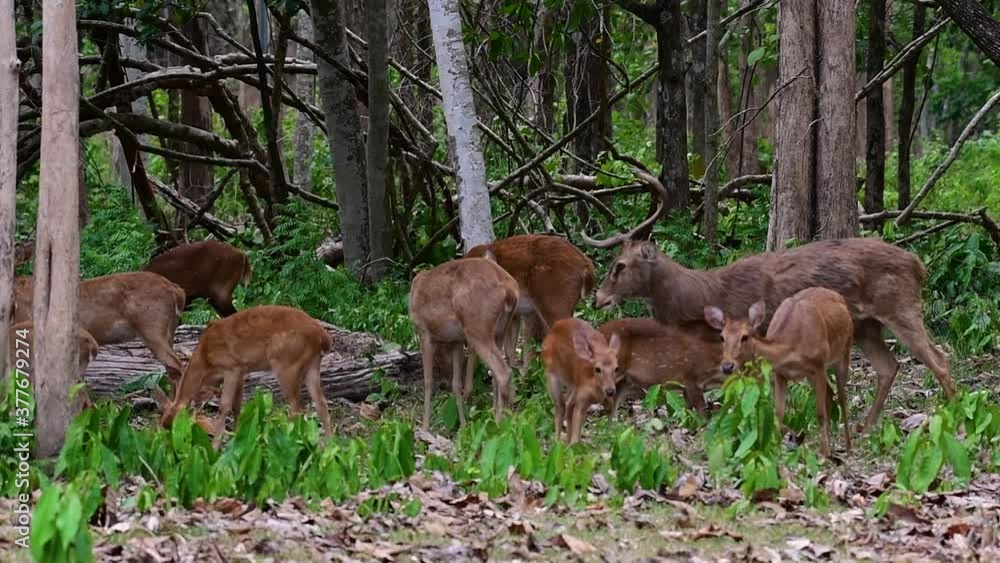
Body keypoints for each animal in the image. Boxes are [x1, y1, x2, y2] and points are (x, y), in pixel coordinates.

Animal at [156, 305, 332, 447]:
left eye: (176, 426)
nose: (170, 447)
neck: (205, 359)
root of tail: (322, 336)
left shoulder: (231, 367)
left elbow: (225, 406)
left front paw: (215, 447)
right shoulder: (241, 370)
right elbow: (237, 406)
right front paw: (235, 437)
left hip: (286, 364)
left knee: (297, 407)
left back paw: (291, 440)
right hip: (312, 365)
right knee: (321, 403)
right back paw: (329, 445)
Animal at [409, 257, 518, 430]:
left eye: (439, 364)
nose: (443, 384)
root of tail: (510, 291)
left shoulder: (424, 332)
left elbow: (427, 381)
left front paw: (425, 427)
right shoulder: (457, 340)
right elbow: (456, 383)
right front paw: (463, 425)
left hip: (477, 328)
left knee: (503, 372)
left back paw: (498, 424)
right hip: (500, 331)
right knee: (499, 373)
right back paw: (500, 416)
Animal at [584, 190, 954, 432]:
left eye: (619, 266)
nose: (597, 298)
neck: (700, 299)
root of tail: (918, 265)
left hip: (900, 305)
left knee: (939, 358)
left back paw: (954, 416)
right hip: (866, 324)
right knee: (889, 366)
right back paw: (867, 427)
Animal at [704, 287, 854, 458]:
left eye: (745, 337)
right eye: (722, 337)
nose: (727, 366)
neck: (791, 347)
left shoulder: (819, 364)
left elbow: (820, 413)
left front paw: (825, 454)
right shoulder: (780, 373)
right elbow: (778, 413)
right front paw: (780, 446)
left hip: (844, 351)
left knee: (841, 397)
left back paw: (848, 447)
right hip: (811, 374)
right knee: (829, 394)